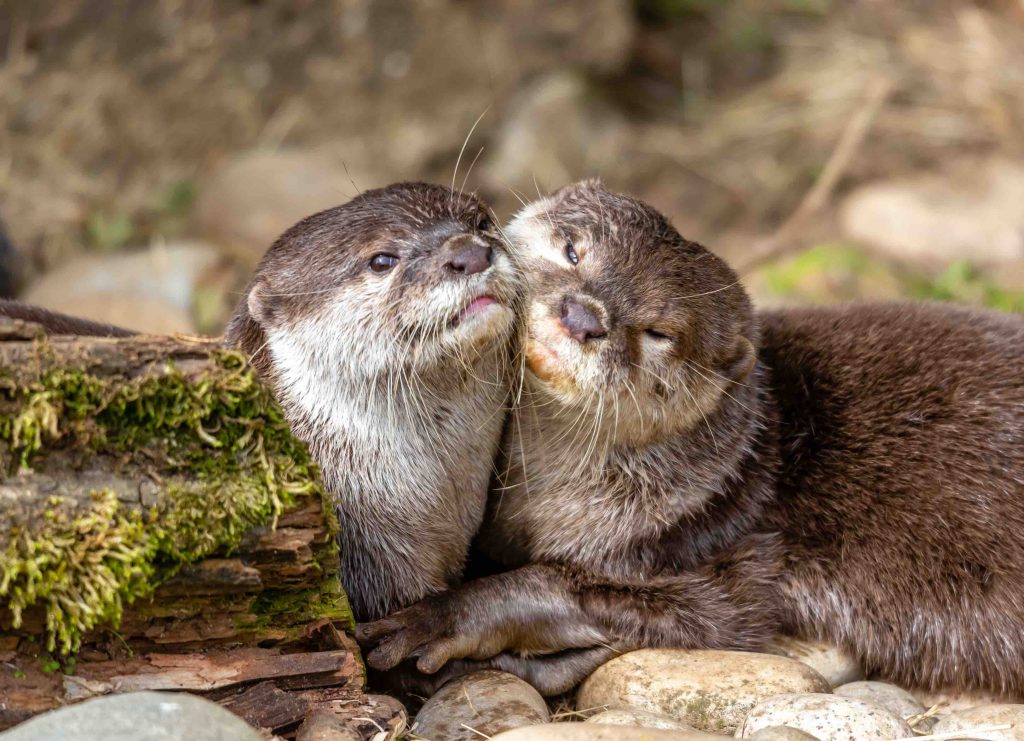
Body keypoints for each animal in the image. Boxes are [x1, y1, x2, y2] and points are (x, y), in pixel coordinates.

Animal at [359, 180, 1024, 698]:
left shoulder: (715, 551)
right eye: (573, 250)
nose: (583, 316)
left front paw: (446, 617)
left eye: (659, 331)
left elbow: (656, 605)